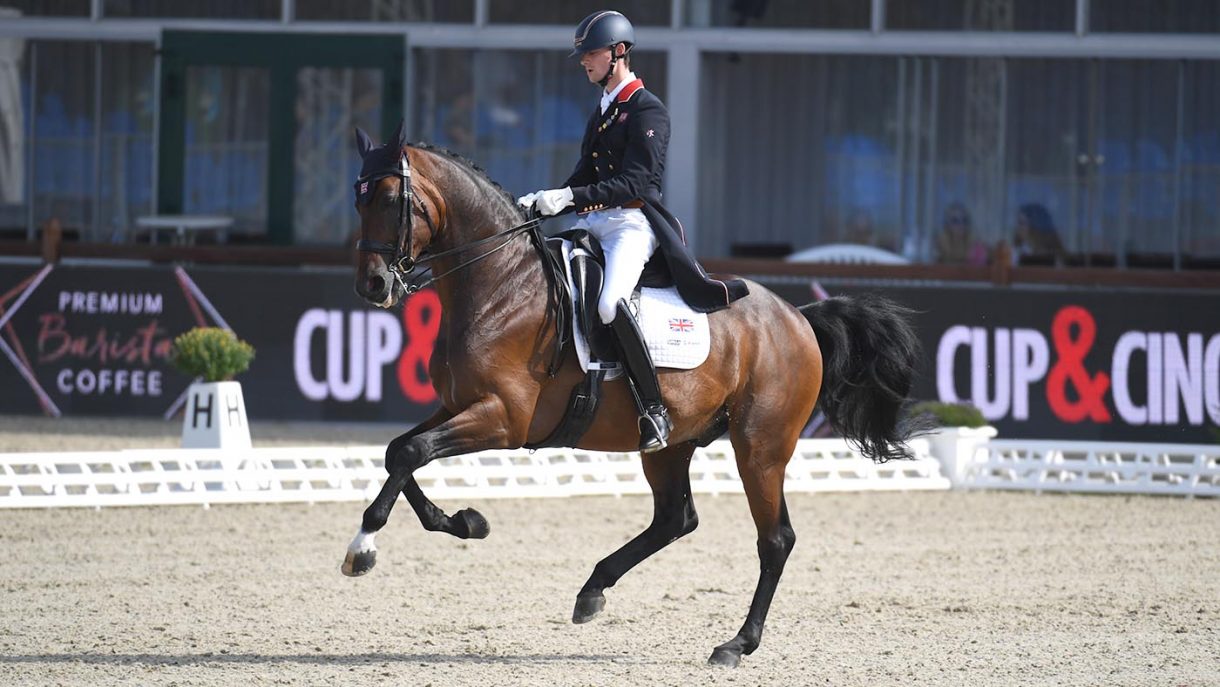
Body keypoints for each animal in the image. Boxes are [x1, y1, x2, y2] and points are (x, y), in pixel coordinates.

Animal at [343, 123, 921, 667]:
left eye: (391, 199)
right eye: (358, 200)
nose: (372, 285)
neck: (500, 285)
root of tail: (797, 317)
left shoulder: (503, 419)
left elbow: (412, 452)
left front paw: (363, 548)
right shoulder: (457, 406)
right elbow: (398, 452)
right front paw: (465, 522)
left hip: (760, 447)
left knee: (774, 539)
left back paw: (736, 643)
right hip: (672, 445)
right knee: (675, 518)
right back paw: (593, 591)